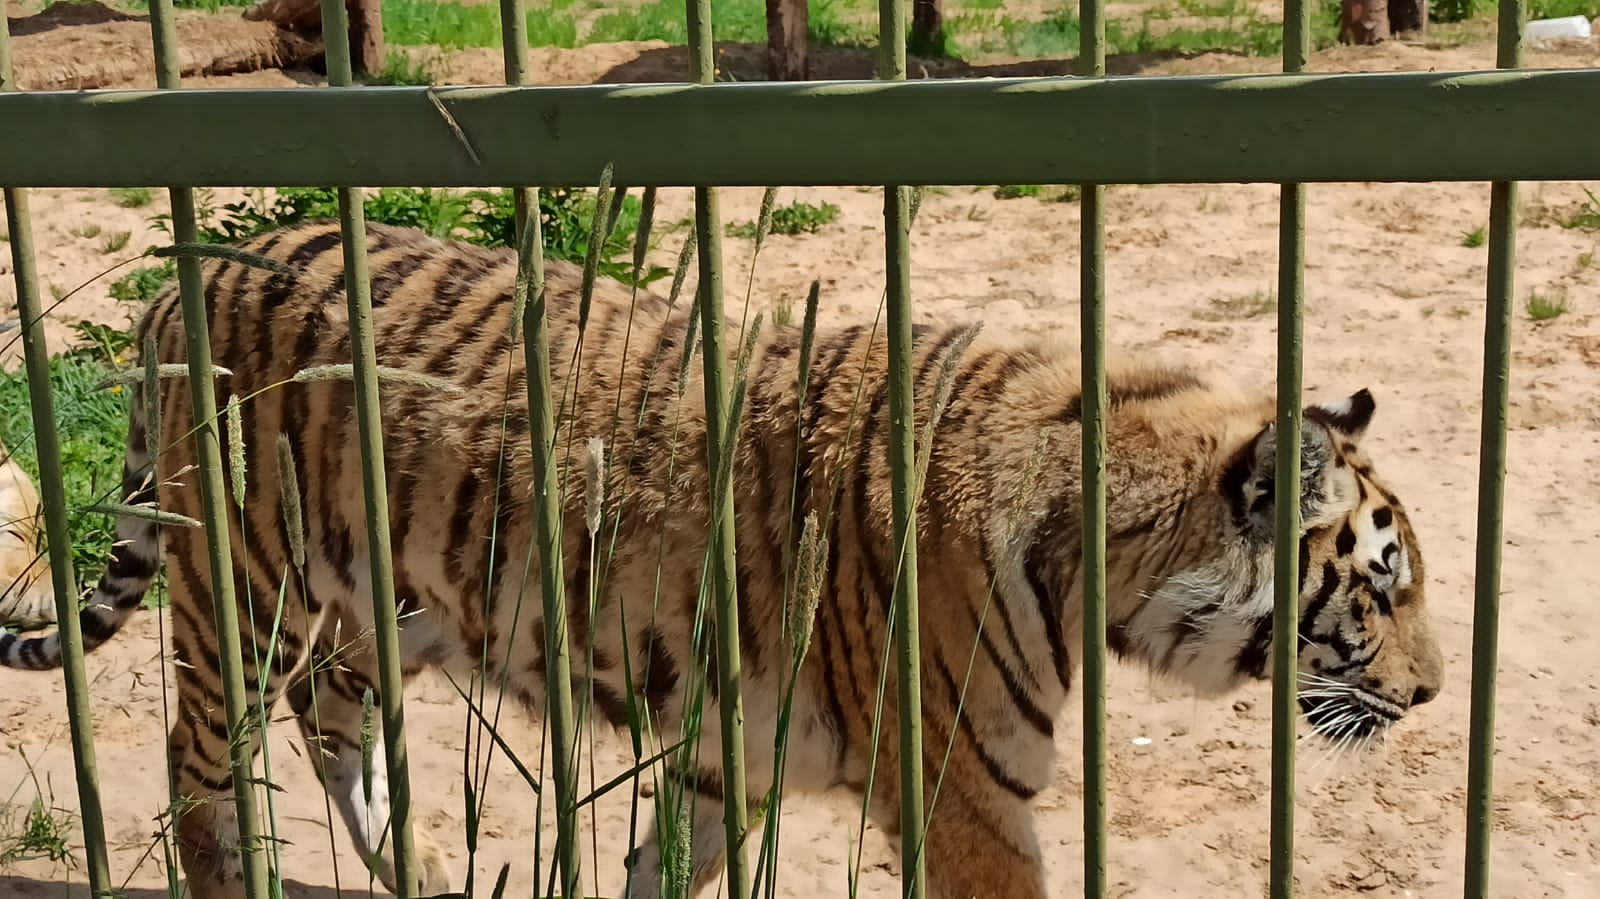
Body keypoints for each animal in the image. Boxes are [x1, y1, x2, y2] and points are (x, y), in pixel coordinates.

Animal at [0, 219, 1446, 895]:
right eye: (1379, 585)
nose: (1432, 690)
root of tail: (181, 279)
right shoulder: (967, 796)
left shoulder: (726, 748)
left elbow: (658, 862)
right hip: (245, 589)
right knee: (197, 773)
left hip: (375, 604)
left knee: (329, 721)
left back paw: (410, 869)